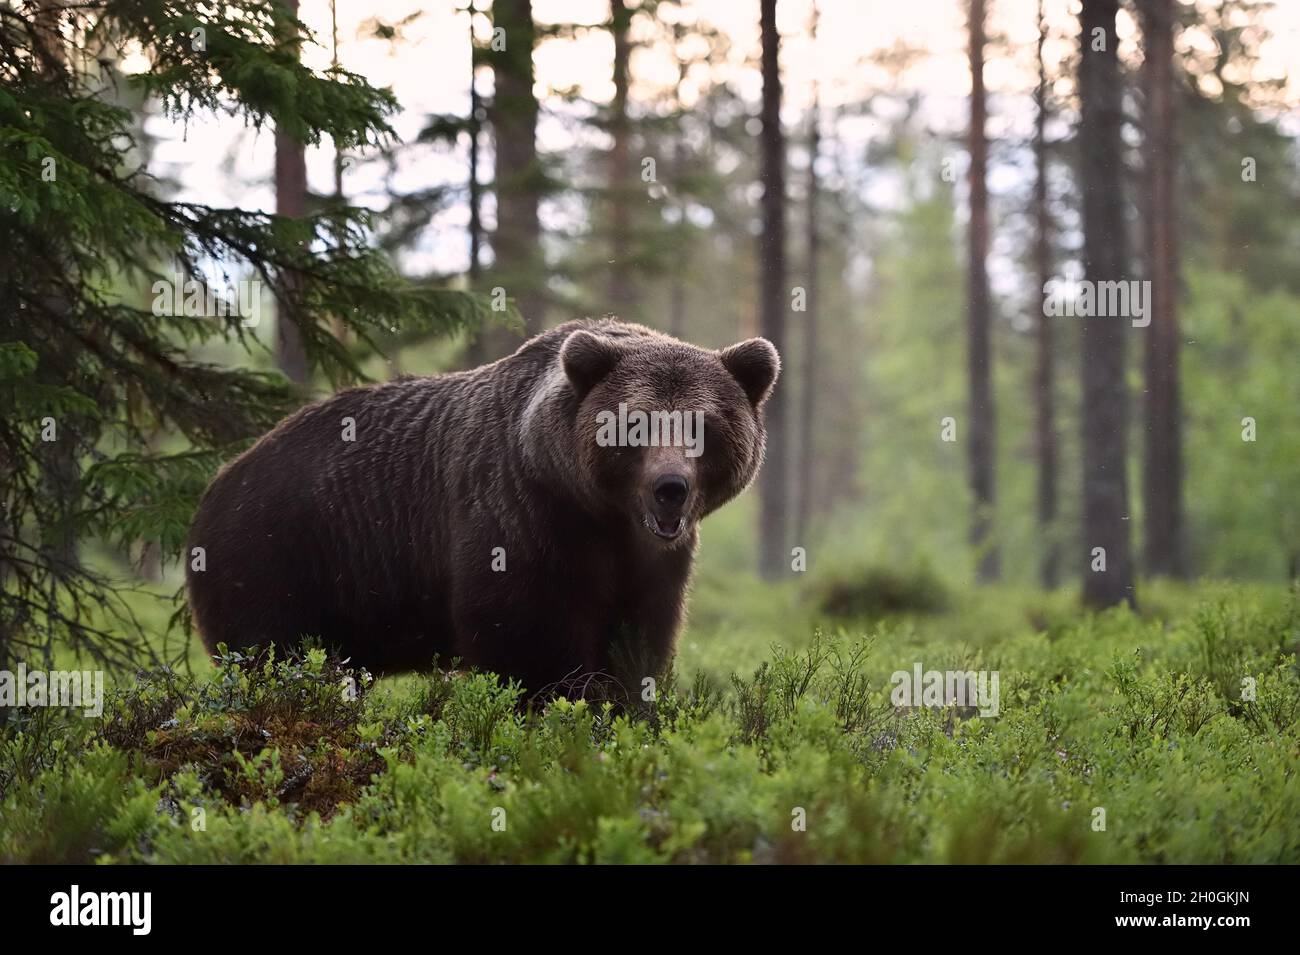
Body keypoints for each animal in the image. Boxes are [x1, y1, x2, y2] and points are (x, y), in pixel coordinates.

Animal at [185, 319, 779, 700]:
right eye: (634, 424)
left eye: (702, 425)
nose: (669, 487)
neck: (599, 515)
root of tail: (219, 480)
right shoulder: (521, 516)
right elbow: (526, 638)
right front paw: (562, 704)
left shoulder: (652, 562)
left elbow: (640, 642)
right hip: (277, 554)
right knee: (270, 652)